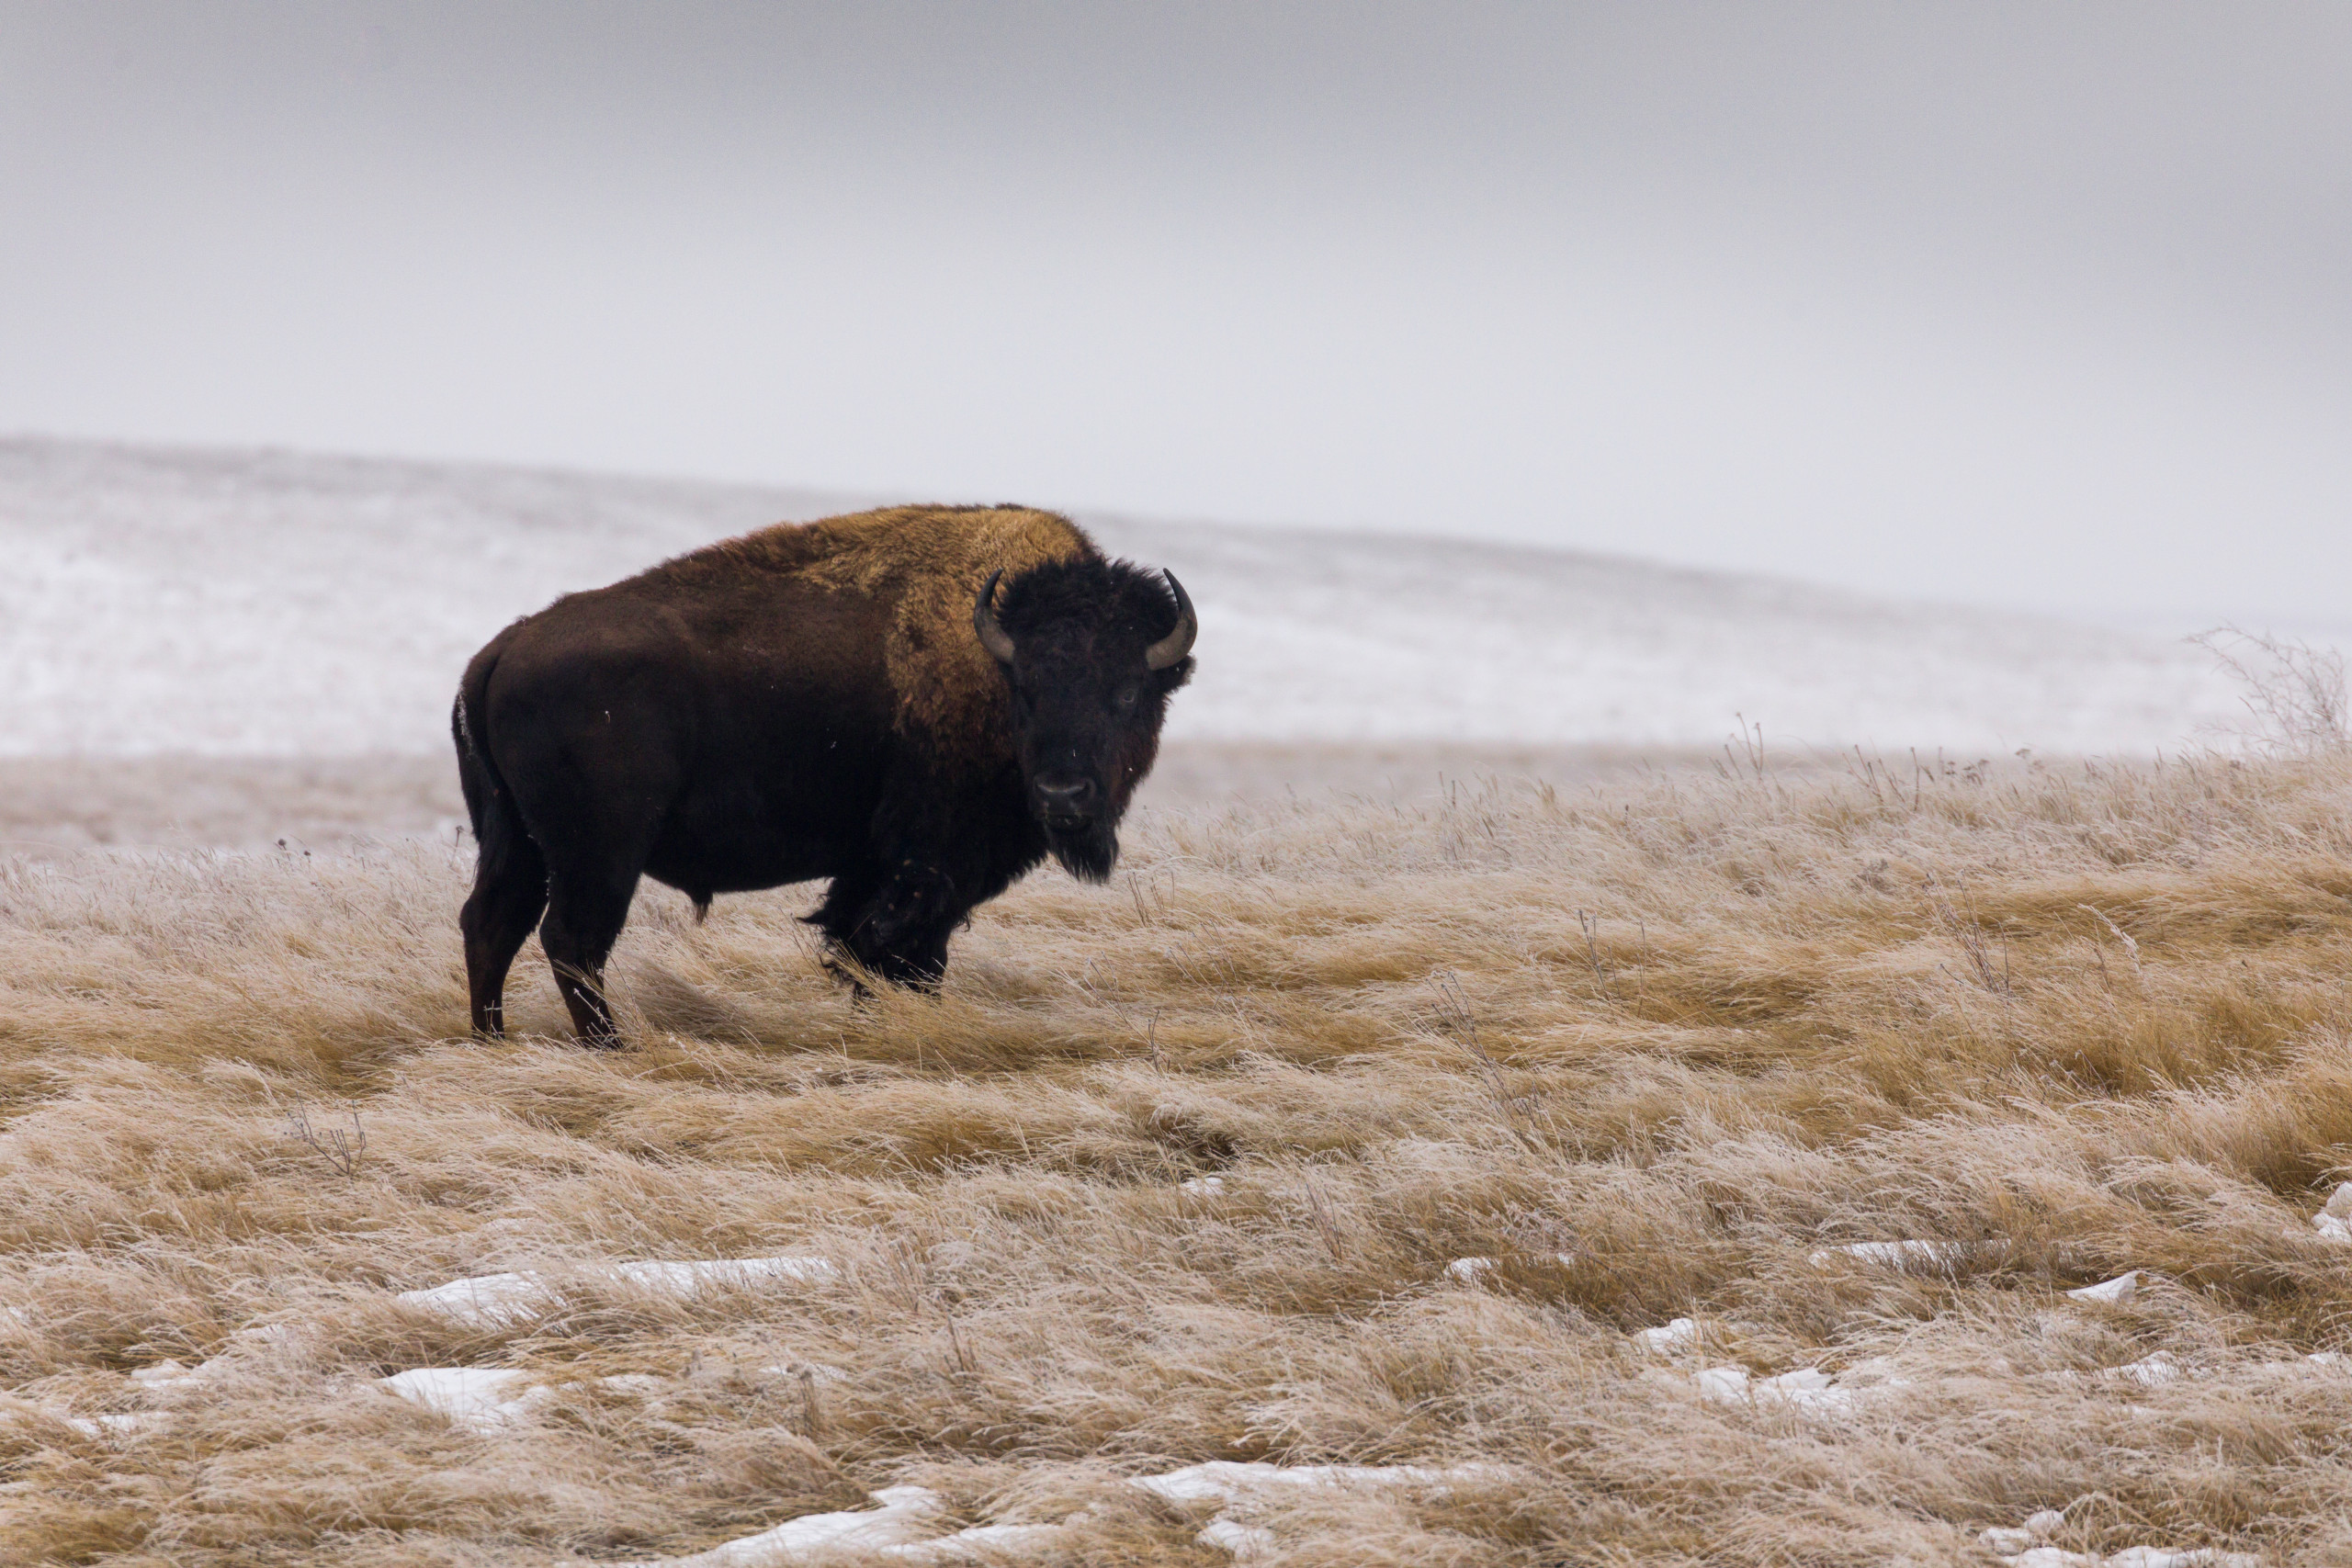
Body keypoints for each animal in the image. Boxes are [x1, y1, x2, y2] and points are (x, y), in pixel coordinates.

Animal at [452, 504, 1196, 1045]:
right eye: (1029, 690)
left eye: (1128, 692)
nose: (1063, 794)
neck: (991, 657)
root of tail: (503, 648)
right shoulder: (927, 866)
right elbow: (895, 952)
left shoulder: (875, 866)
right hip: (599, 853)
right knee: (571, 940)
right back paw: (611, 1046)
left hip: (515, 840)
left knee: (492, 925)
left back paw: (494, 1040)